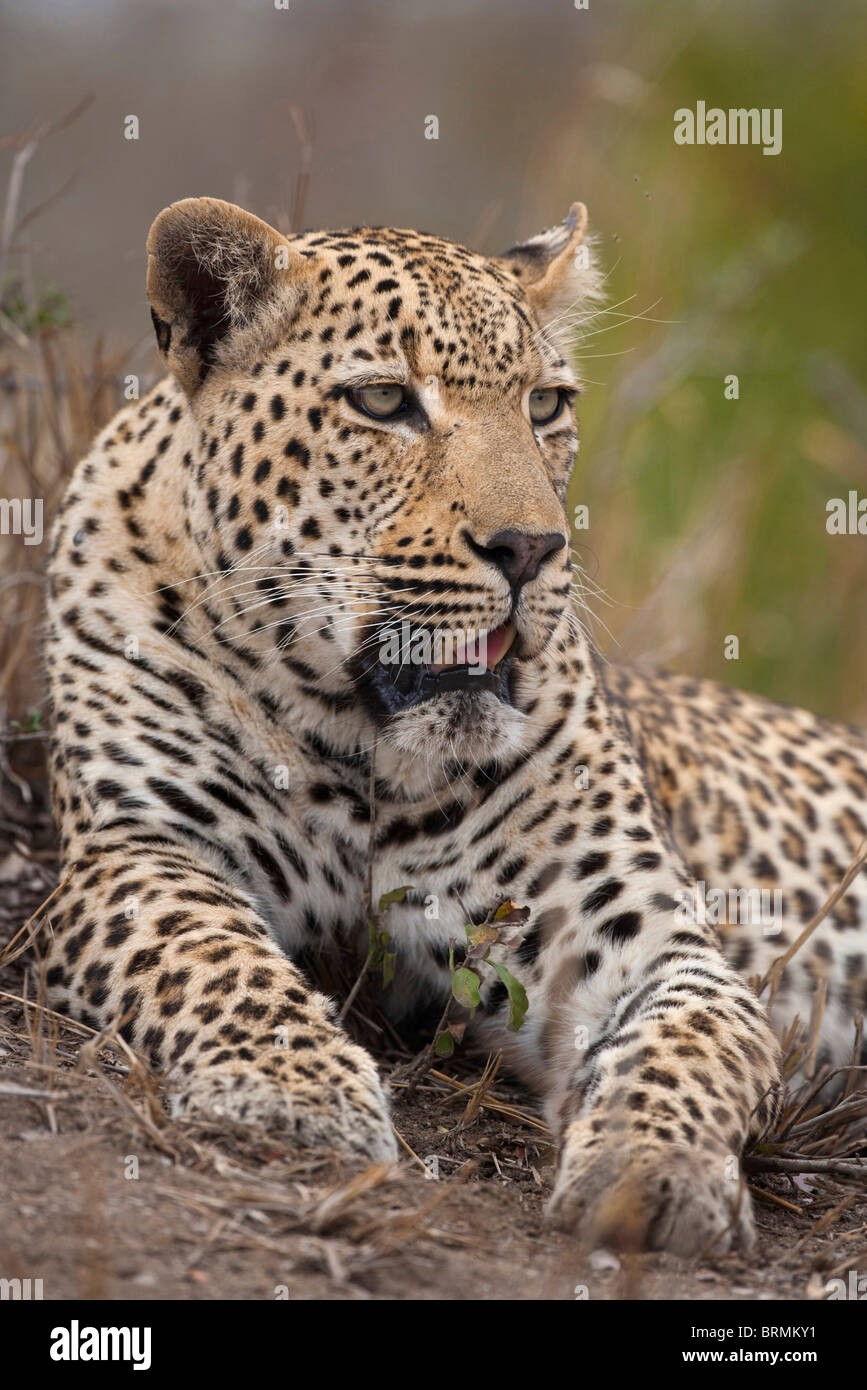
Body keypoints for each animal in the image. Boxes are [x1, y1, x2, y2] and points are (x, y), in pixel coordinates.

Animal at [42, 196, 867, 1256]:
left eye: (545, 406)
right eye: (384, 402)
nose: (531, 547)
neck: (357, 749)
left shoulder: (633, 933)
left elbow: (690, 1039)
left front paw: (656, 1167)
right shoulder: (136, 852)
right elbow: (212, 956)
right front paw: (293, 1090)